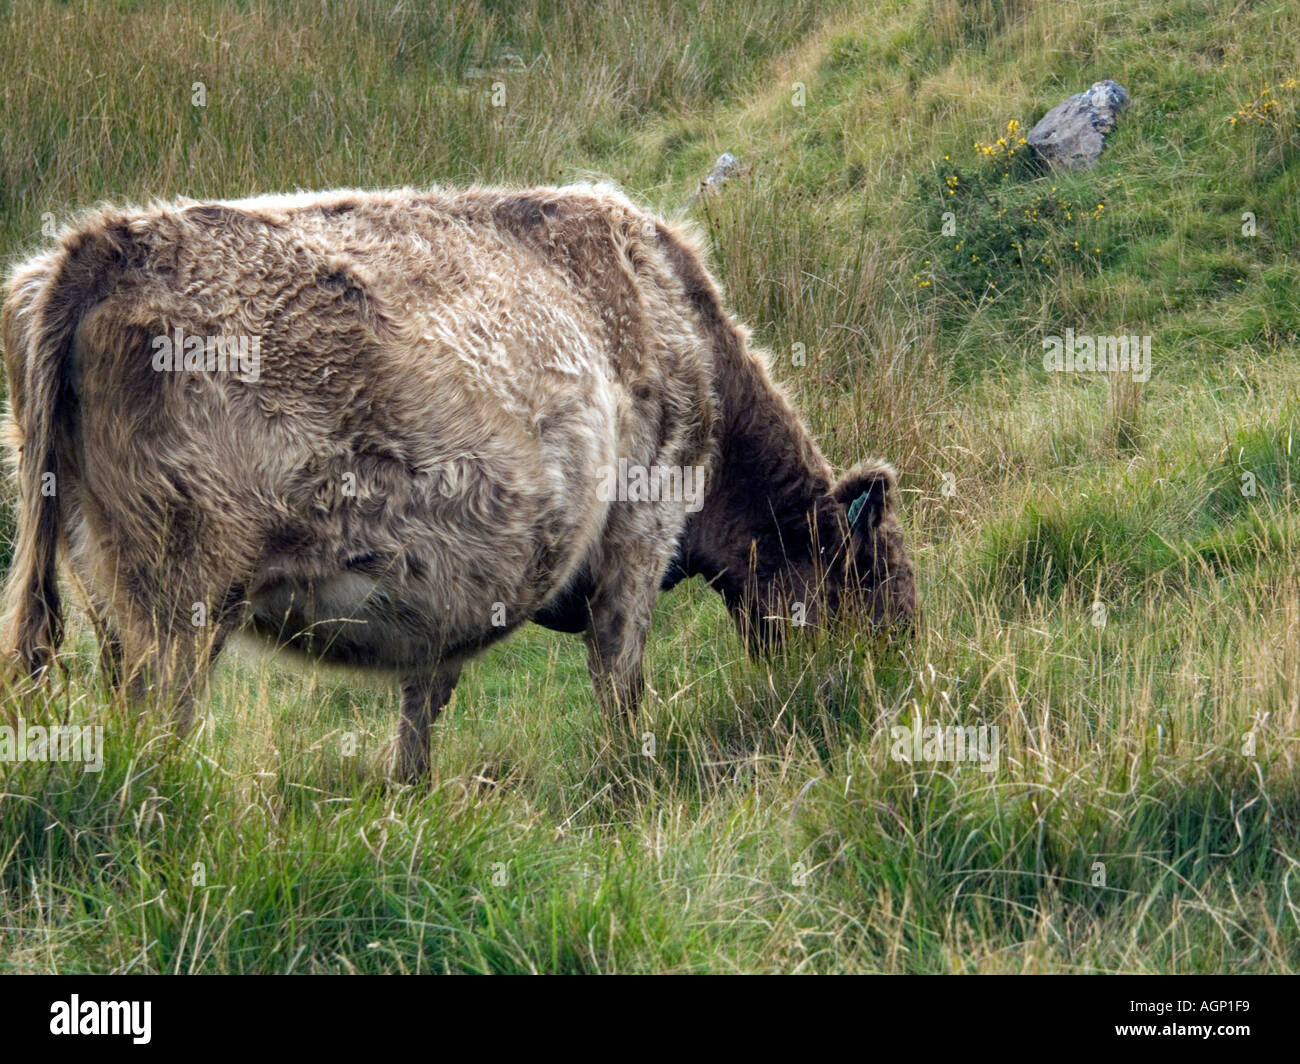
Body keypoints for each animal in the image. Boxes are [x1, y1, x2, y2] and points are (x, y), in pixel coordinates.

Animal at [0, 184, 915, 779]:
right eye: (877, 591)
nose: (886, 698)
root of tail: (103, 242)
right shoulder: (639, 532)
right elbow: (620, 680)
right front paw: (630, 781)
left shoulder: (436, 597)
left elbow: (420, 713)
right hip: (177, 608)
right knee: (161, 733)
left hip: (104, 599)